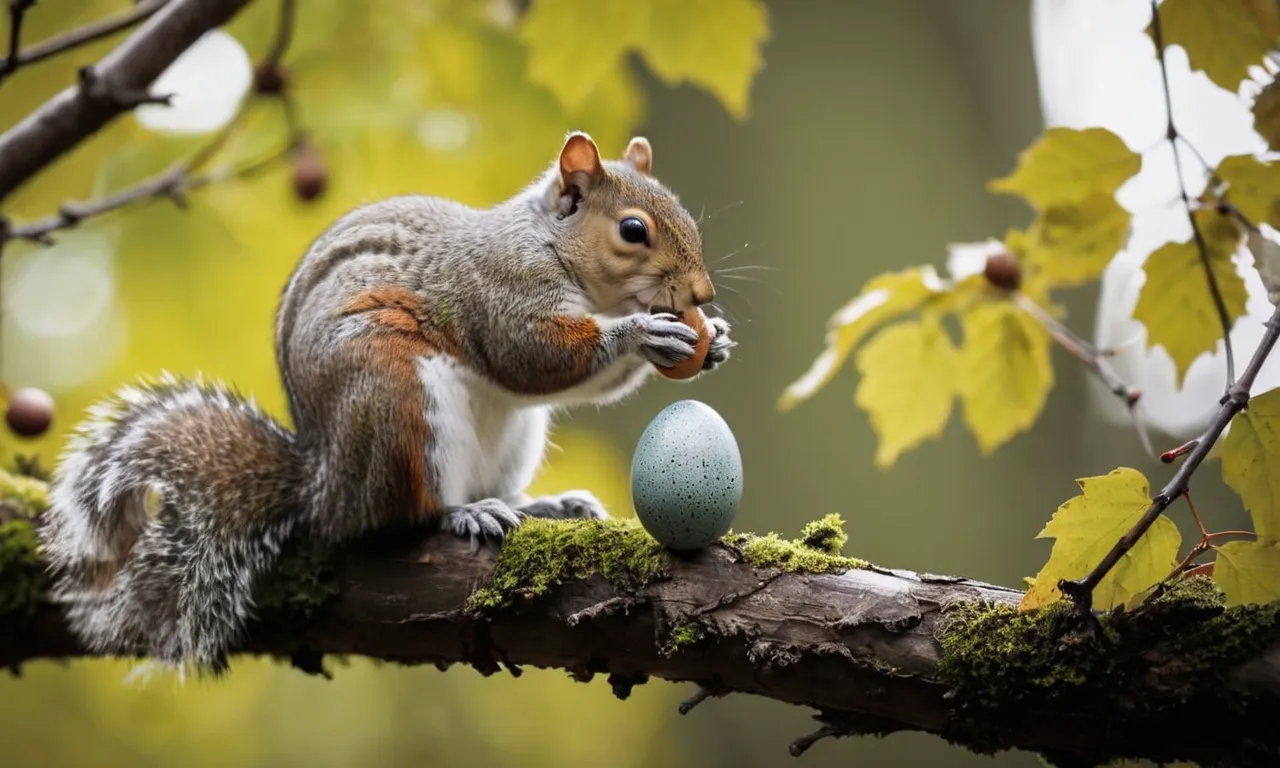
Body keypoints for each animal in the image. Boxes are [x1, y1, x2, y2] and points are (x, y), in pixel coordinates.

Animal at [38, 131, 734, 676]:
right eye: (633, 230)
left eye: (686, 217)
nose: (702, 294)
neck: (549, 245)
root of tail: (328, 489)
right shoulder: (500, 290)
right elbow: (532, 356)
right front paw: (642, 333)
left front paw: (716, 340)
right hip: (398, 402)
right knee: (407, 511)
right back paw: (465, 513)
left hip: (512, 435)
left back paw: (542, 505)